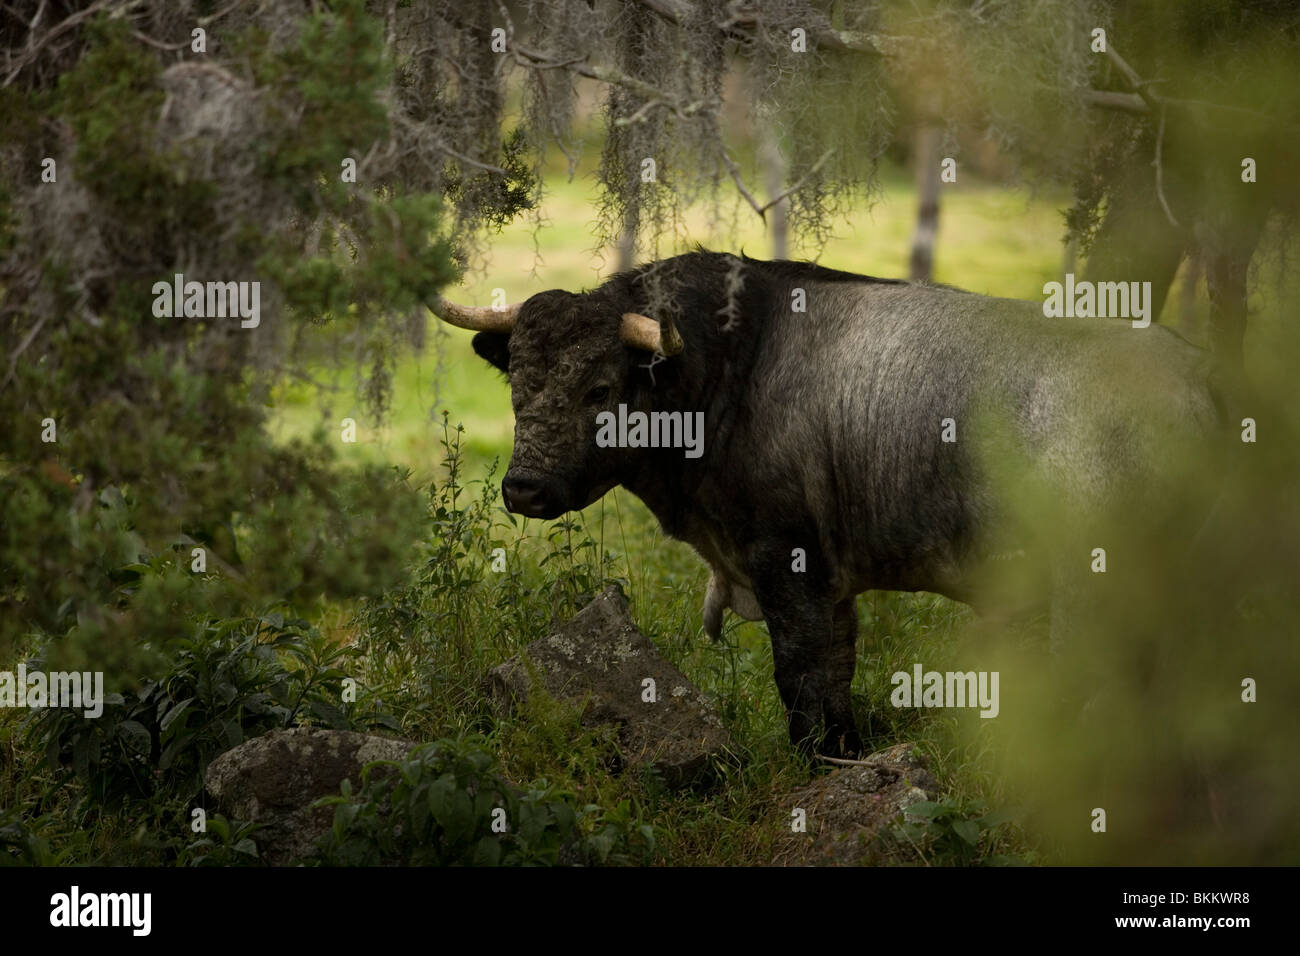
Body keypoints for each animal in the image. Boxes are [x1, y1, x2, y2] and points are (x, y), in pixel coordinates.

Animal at [431, 251, 1225, 757]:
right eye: (517, 383)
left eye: (599, 388)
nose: (524, 489)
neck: (731, 366)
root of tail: (1198, 380)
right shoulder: (831, 580)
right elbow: (835, 677)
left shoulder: (788, 562)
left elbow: (801, 675)